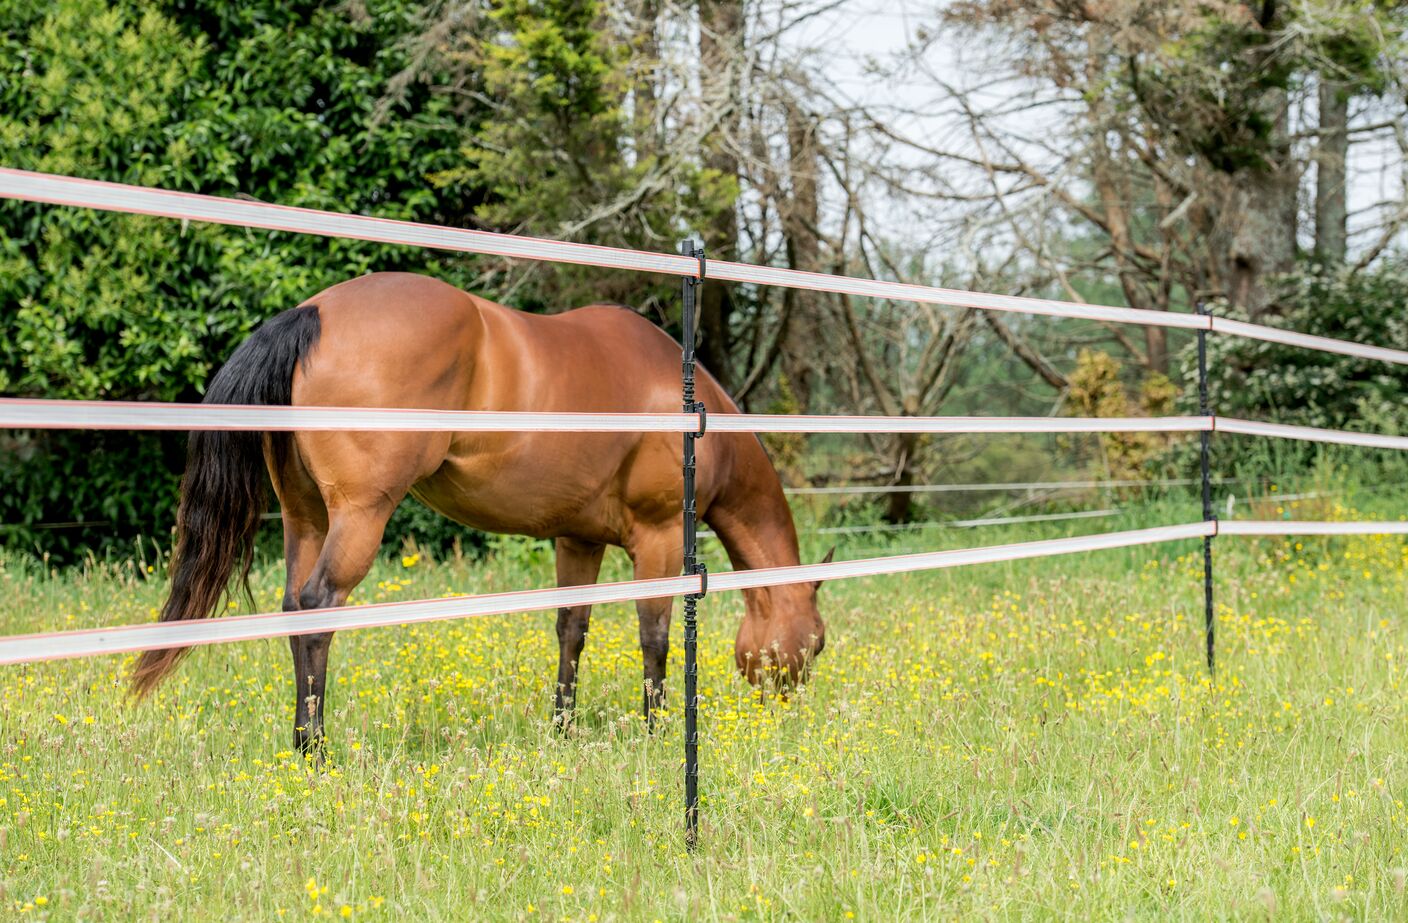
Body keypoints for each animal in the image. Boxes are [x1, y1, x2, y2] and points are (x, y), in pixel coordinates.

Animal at [128, 272, 829, 754]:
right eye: (817, 643)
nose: (787, 713)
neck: (689, 409)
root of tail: (312, 314)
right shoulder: (657, 539)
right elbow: (654, 637)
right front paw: (656, 732)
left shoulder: (577, 540)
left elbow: (571, 630)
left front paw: (563, 730)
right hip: (357, 519)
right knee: (318, 608)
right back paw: (316, 750)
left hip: (307, 521)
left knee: (294, 613)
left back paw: (300, 743)